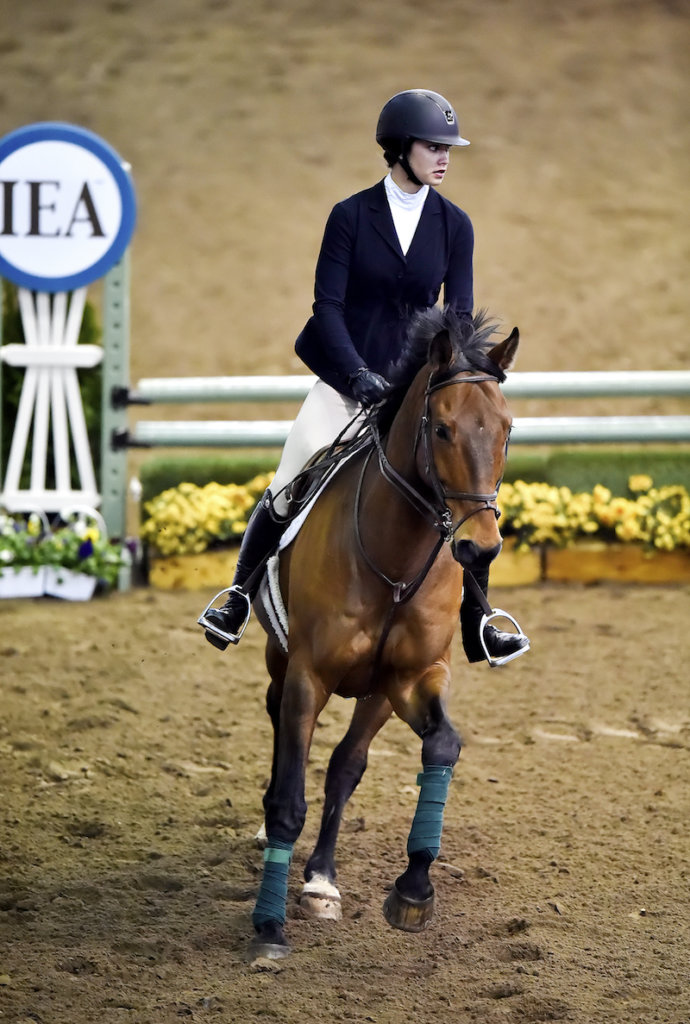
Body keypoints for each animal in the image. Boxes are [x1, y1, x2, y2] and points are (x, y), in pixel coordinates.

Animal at [248, 306, 518, 958]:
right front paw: (268, 928)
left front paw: (411, 891)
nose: (479, 549)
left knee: (344, 765)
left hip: (372, 690)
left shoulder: (408, 678)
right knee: (280, 731)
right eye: (442, 430)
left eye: (506, 430)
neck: (395, 559)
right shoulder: (309, 676)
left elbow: (435, 747)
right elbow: (290, 797)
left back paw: (321, 878)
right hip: (281, 659)